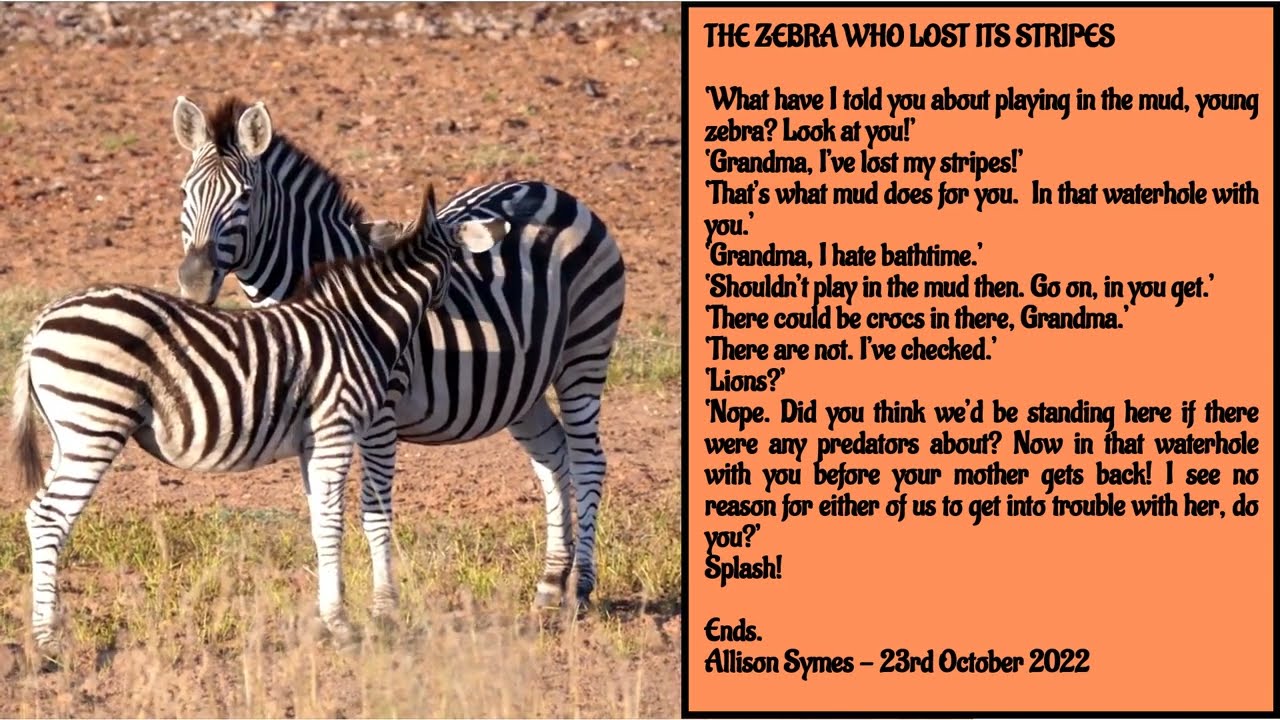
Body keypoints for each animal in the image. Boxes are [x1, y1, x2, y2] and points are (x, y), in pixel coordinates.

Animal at [7, 173, 503, 656]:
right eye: (459, 260)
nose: (463, 316)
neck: (359, 323)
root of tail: (44, 320)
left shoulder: (312, 442)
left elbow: (319, 524)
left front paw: (326, 619)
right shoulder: (335, 428)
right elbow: (333, 523)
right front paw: (341, 624)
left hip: (69, 434)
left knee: (36, 515)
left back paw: (45, 629)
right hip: (95, 425)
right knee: (51, 517)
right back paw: (49, 640)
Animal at [170, 96, 627, 612]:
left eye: (245, 197)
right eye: (185, 191)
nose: (194, 282)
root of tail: (550, 189)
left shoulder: (381, 414)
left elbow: (374, 510)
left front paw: (383, 606)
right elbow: (319, 512)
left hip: (584, 355)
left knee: (588, 461)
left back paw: (582, 587)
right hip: (521, 387)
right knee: (553, 458)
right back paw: (551, 582)